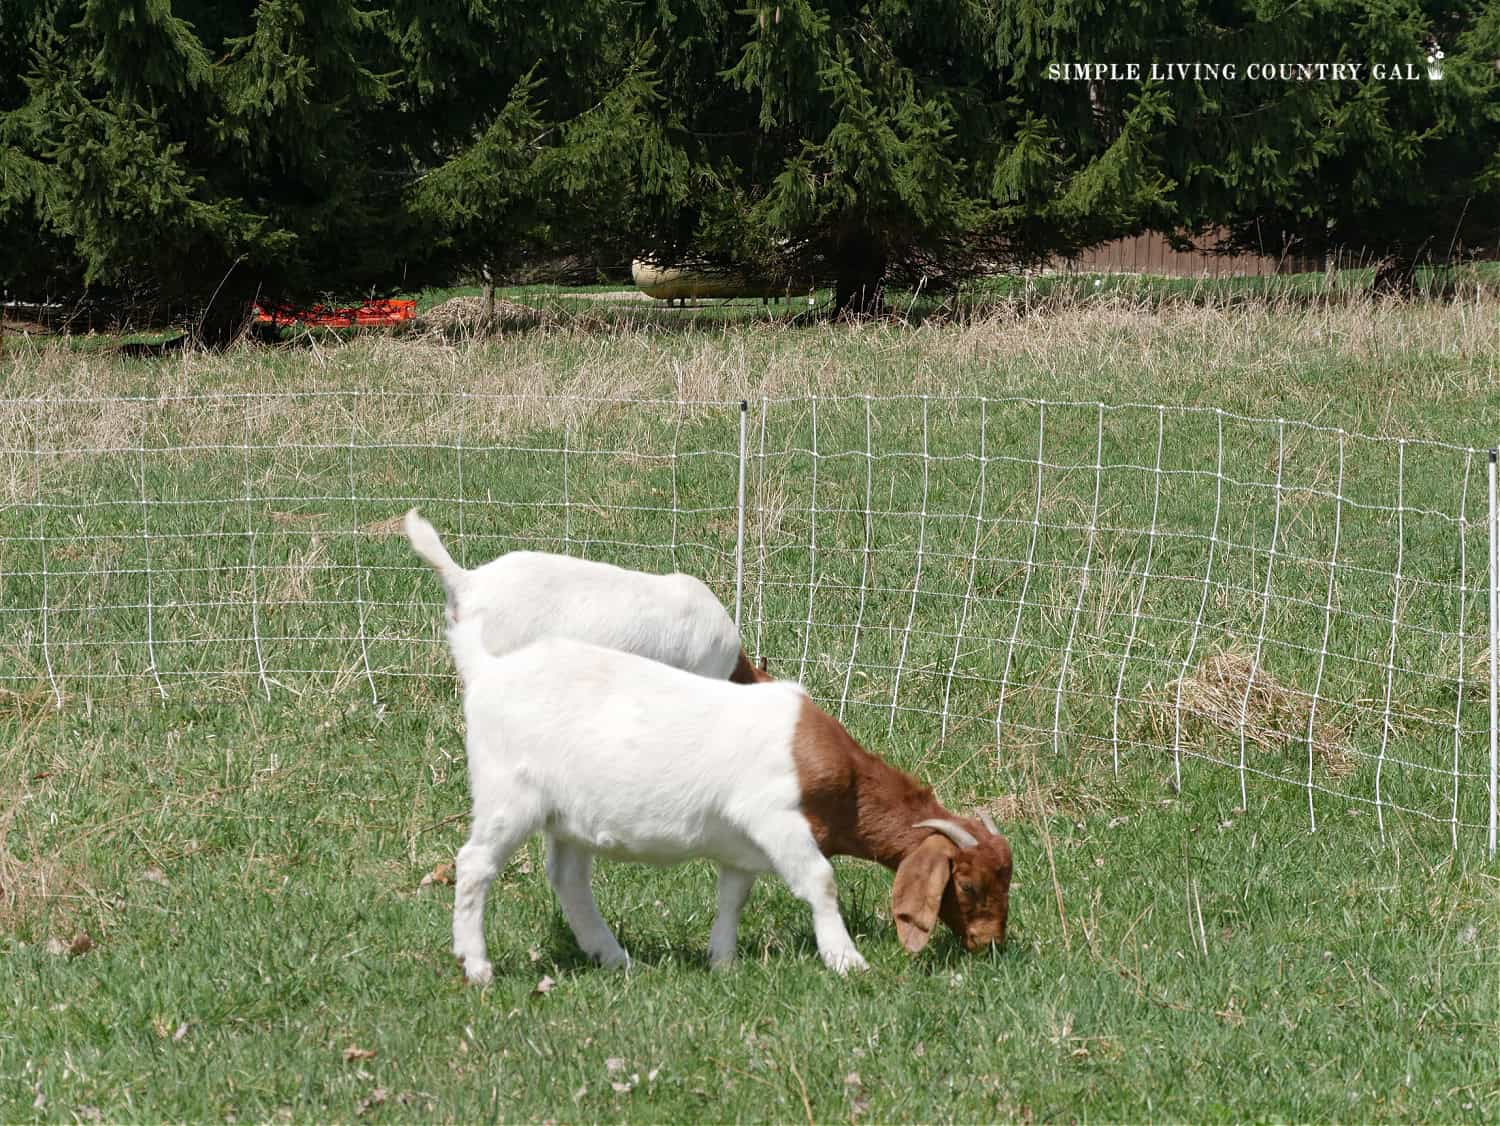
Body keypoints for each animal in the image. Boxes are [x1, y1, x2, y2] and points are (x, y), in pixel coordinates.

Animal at [446, 633, 1011, 982]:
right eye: (967, 885)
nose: (991, 945)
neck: (844, 782)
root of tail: (489, 670)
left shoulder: (743, 850)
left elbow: (732, 898)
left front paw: (722, 961)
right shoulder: (776, 819)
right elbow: (822, 882)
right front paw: (847, 960)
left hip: (568, 820)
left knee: (569, 880)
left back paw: (613, 957)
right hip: (509, 797)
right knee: (474, 866)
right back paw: (477, 966)